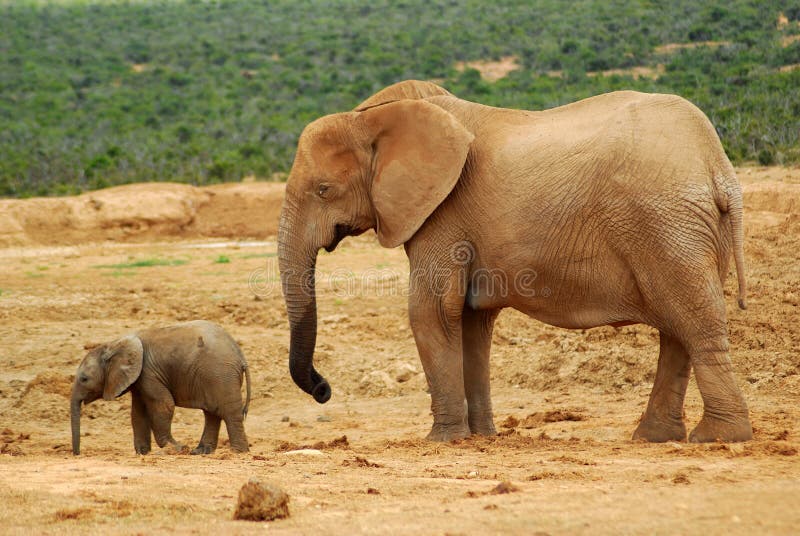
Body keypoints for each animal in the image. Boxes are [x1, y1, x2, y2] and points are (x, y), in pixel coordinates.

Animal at [71, 320, 251, 455]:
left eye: (84, 379)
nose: (77, 454)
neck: (114, 344)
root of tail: (240, 354)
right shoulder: (139, 379)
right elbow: (138, 412)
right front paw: (143, 453)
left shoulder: (148, 373)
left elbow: (163, 405)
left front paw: (176, 449)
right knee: (212, 413)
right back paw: (201, 452)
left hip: (220, 374)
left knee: (229, 412)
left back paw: (237, 452)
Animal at [277, 79, 752, 444]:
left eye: (323, 190)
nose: (324, 389)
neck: (374, 116)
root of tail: (717, 167)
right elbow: (470, 321)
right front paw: (481, 438)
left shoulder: (443, 213)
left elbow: (431, 312)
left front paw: (441, 441)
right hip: (685, 229)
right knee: (679, 326)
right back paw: (656, 438)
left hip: (665, 222)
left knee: (694, 320)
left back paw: (718, 438)